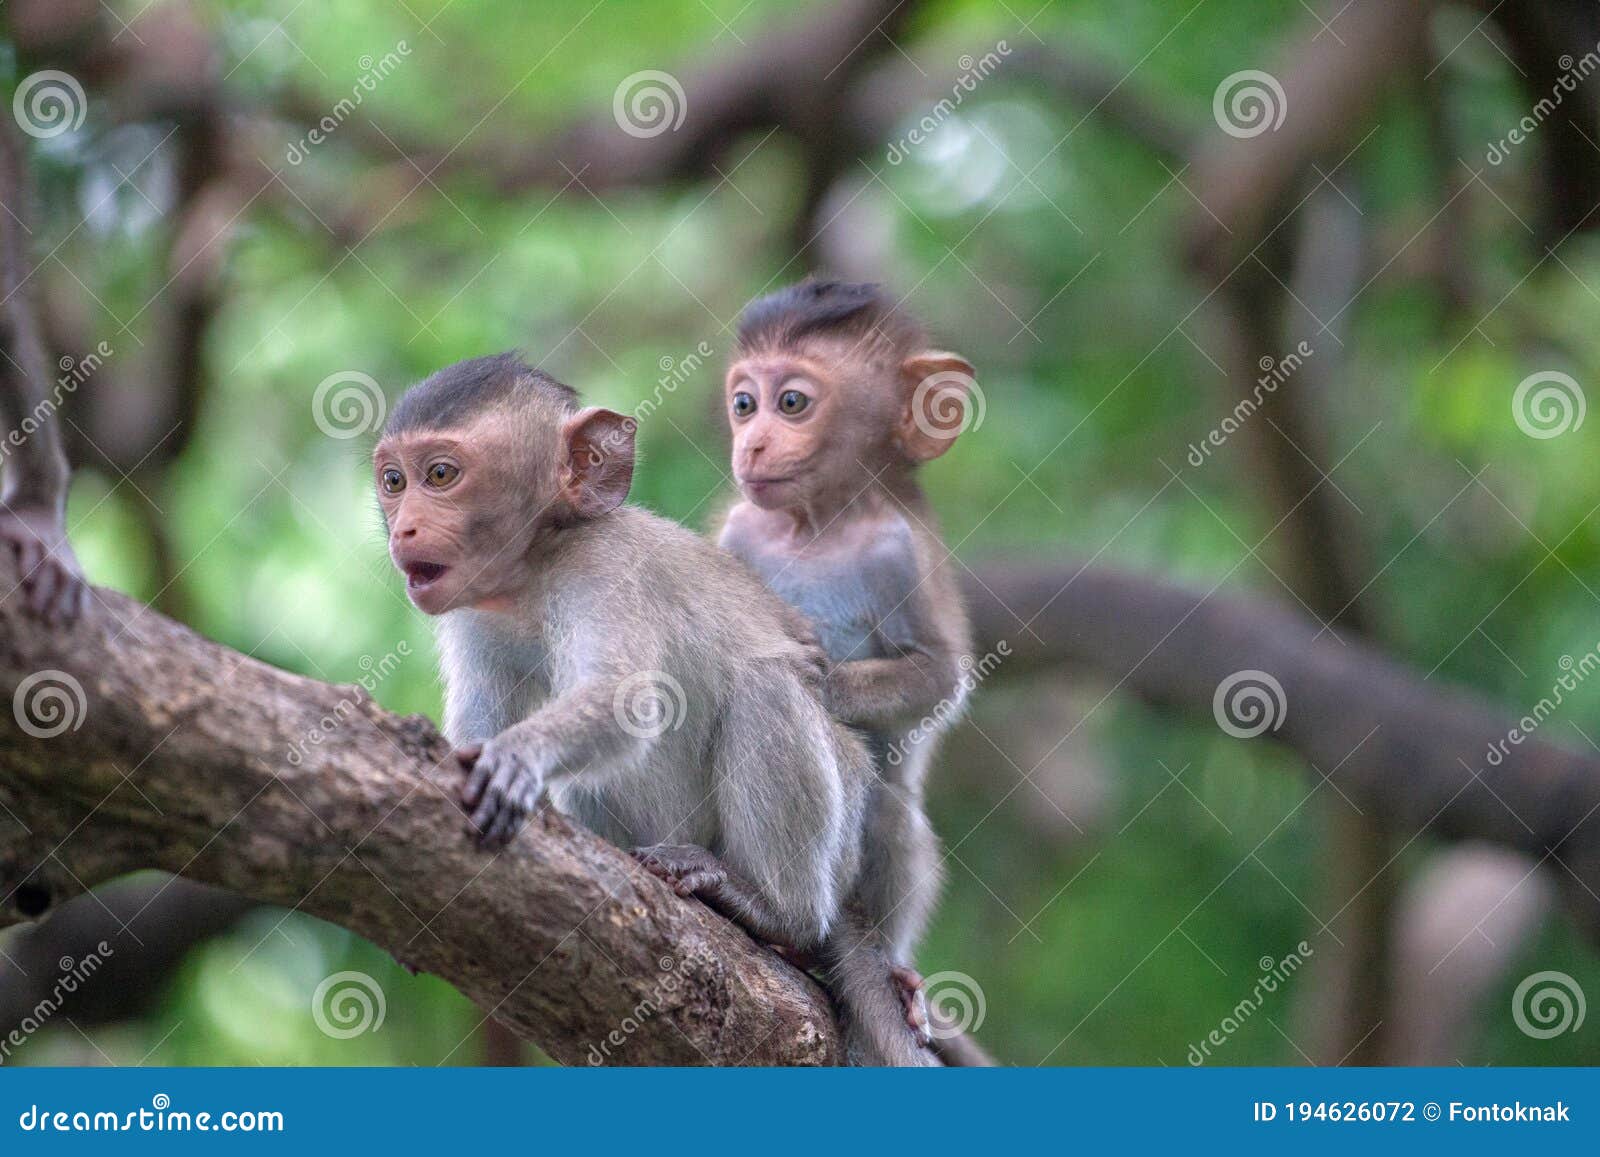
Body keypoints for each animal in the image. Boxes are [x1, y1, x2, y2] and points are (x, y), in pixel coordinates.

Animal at [374, 352, 936, 1066]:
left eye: (441, 475)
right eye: (394, 482)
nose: (404, 527)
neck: (535, 565)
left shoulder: (601, 570)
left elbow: (624, 702)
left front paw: (515, 757)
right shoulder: (476, 612)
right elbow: (481, 722)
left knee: (767, 687)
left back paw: (775, 912)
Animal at [715, 280, 989, 1063]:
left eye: (792, 403)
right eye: (743, 403)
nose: (752, 441)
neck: (818, 526)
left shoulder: (901, 550)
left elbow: (939, 675)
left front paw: (819, 677)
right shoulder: (739, 532)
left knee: (891, 809)